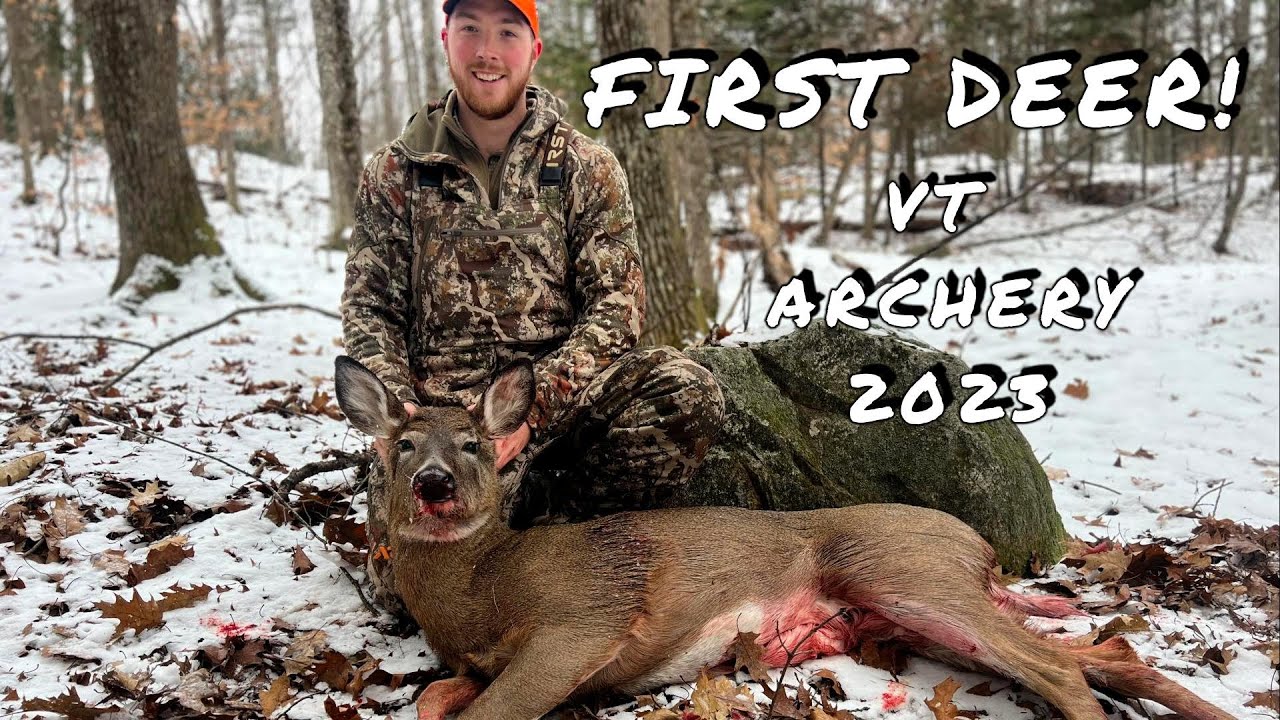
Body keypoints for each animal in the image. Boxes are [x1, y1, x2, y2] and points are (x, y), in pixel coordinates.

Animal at [333, 355, 1237, 720]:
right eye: (400, 445)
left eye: (473, 444)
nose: (434, 484)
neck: (477, 591)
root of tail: (981, 549)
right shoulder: (471, 661)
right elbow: (436, 698)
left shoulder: (584, 620)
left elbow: (492, 709)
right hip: (916, 613)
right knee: (1106, 655)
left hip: (906, 572)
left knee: (1061, 666)